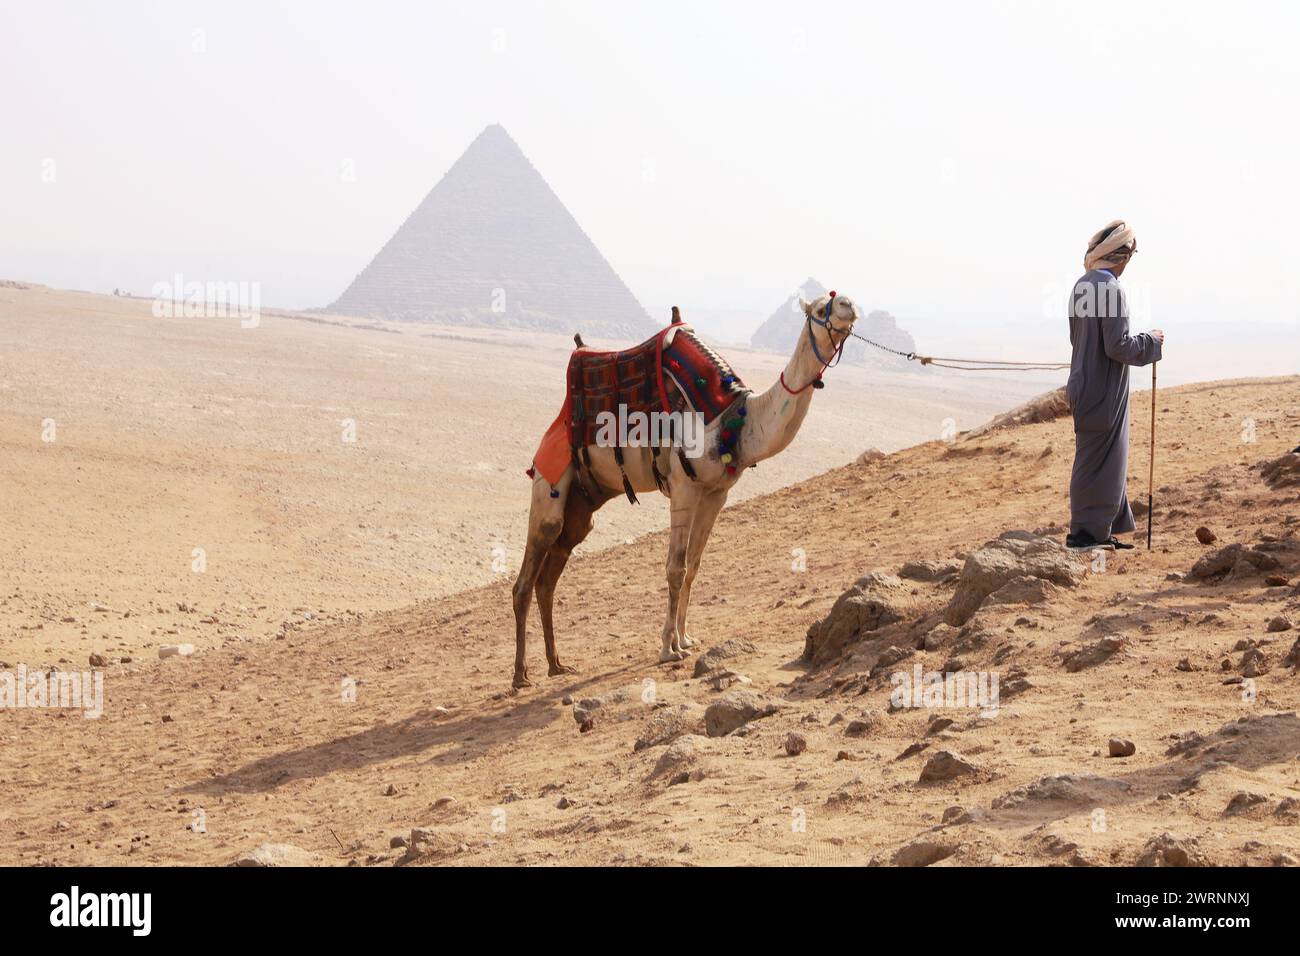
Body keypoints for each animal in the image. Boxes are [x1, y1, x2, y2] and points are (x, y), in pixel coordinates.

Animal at [511, 292, 860, 688]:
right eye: (819, 309)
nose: (848, 304)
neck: (734, 419)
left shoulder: (716, 493)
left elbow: (693, 565)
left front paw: (687, 638)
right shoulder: (683, 487)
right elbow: (675, 568)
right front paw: (669, 648)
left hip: (582, 506)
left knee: (548, 580)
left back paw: (557, 664)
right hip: (550, 482)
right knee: (526, 577)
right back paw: (521, 675)